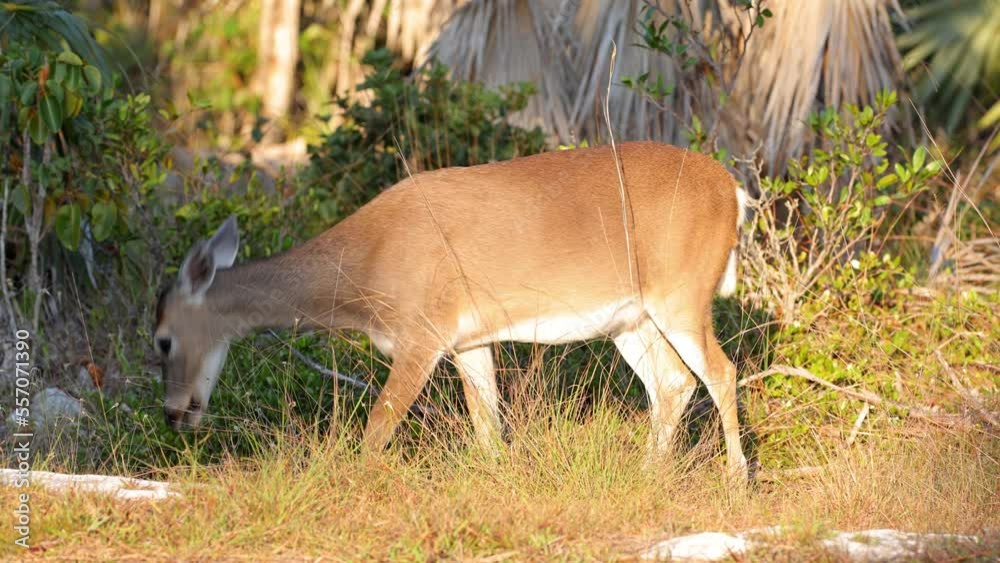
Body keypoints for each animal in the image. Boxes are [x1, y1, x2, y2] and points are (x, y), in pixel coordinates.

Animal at [154, 141, 750, 479]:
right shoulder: (470, 339)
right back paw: (651, 474)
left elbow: (377, 427)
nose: (174, 413)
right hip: (630, 317)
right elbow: (488, 430)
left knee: (721, 371)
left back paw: (735, 483)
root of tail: (734, 190)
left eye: (161, 340)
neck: (367, 269)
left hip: (682, 291)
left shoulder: (423, 331)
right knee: (673, 382)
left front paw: (348, 485)